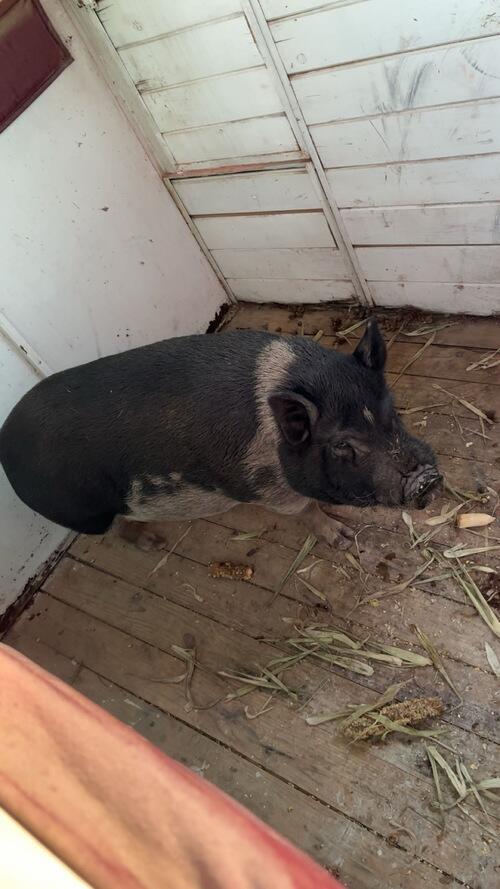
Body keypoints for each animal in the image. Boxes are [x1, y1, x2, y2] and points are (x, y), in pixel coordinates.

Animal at [0, 319, 442, 551]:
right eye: (342, 445)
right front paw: (343, 538)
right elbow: (306, 510)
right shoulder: (268, 489)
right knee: (114, 528)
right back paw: (154, 544)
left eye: (391, 410)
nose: (427, 479)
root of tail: (5, 438)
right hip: (86, 513)